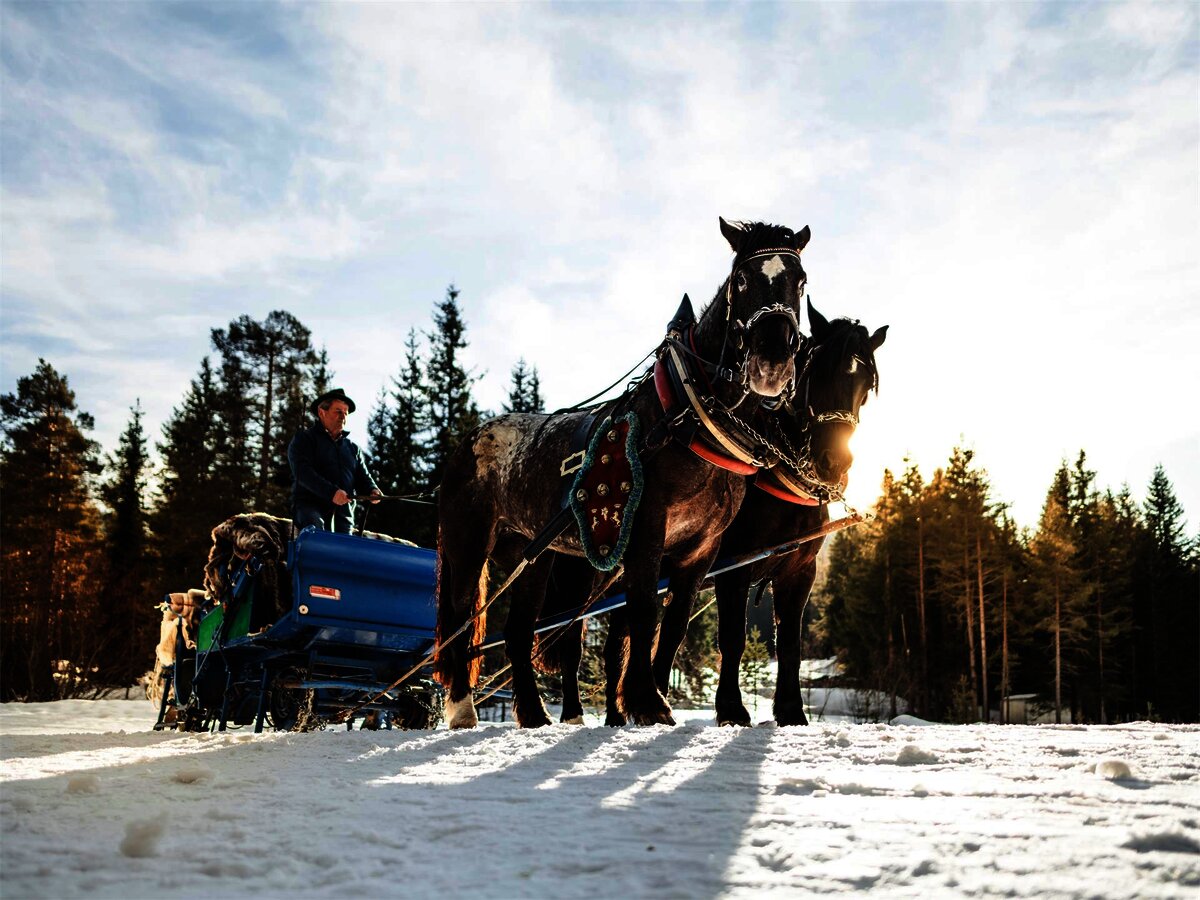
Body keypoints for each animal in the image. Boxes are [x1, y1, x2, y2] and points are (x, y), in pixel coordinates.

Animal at [434, 218, 811, 728]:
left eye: (800, 281)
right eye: (742, 280)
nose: (772, 358)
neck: (685, 419)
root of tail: (467, 441)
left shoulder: (702, 550)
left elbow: (672, 626)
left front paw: (651, 700)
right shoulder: (646, 530)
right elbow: (644, 612)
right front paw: (645, 701)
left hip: (532, 555)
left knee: (517, 631)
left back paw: (533, 713)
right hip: (469, 543)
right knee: (461, 621)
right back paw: (462, 709)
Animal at [541, 300, 887, 726]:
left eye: (866, 387)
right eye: (816, 369)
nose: (834, 462)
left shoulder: (800, 570)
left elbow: (790, 642)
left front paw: (791, 711)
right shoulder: (733, 566)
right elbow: (733, 638)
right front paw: (731, 709)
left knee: (616, 644)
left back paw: (619, 715)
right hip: (584, 577)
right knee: (572, 642)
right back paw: (575, 712)